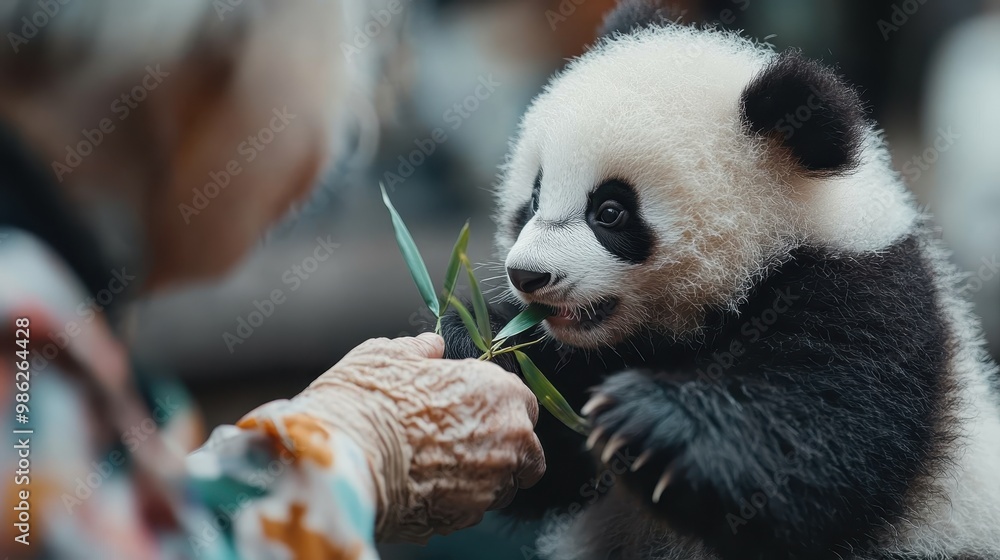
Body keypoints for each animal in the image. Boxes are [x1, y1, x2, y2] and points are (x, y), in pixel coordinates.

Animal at [441, 1, 1000, 559]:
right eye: (533, 198)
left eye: (611, 212)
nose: (527, 275)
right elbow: (546, 458)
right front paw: (476, 348)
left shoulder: (862, 296)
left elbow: (819, 442)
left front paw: (650, 425)